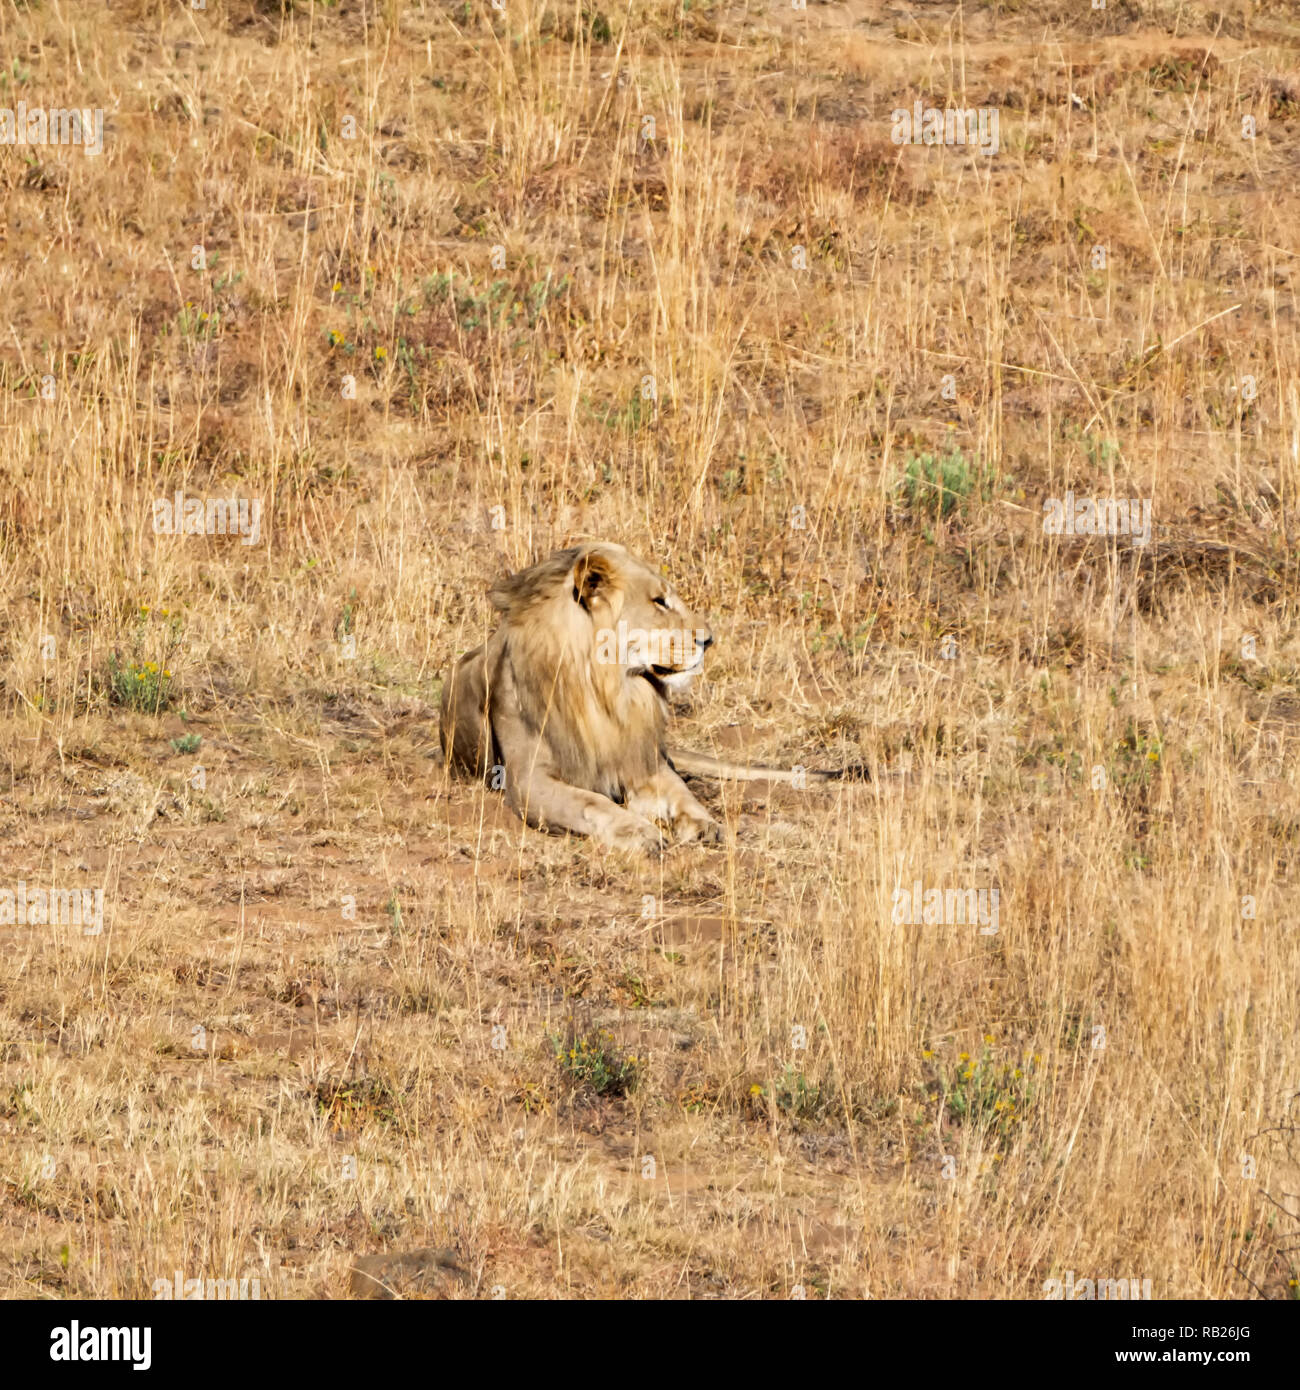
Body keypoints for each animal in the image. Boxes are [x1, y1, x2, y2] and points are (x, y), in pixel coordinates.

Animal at [439, 541, 839, 851]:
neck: (607, 689)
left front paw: (704, 824)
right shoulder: (528, 781)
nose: (709, 640)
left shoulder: (641, 759)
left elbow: (680, 791)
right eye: (659, 601)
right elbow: (592, 803)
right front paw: (637, 831)